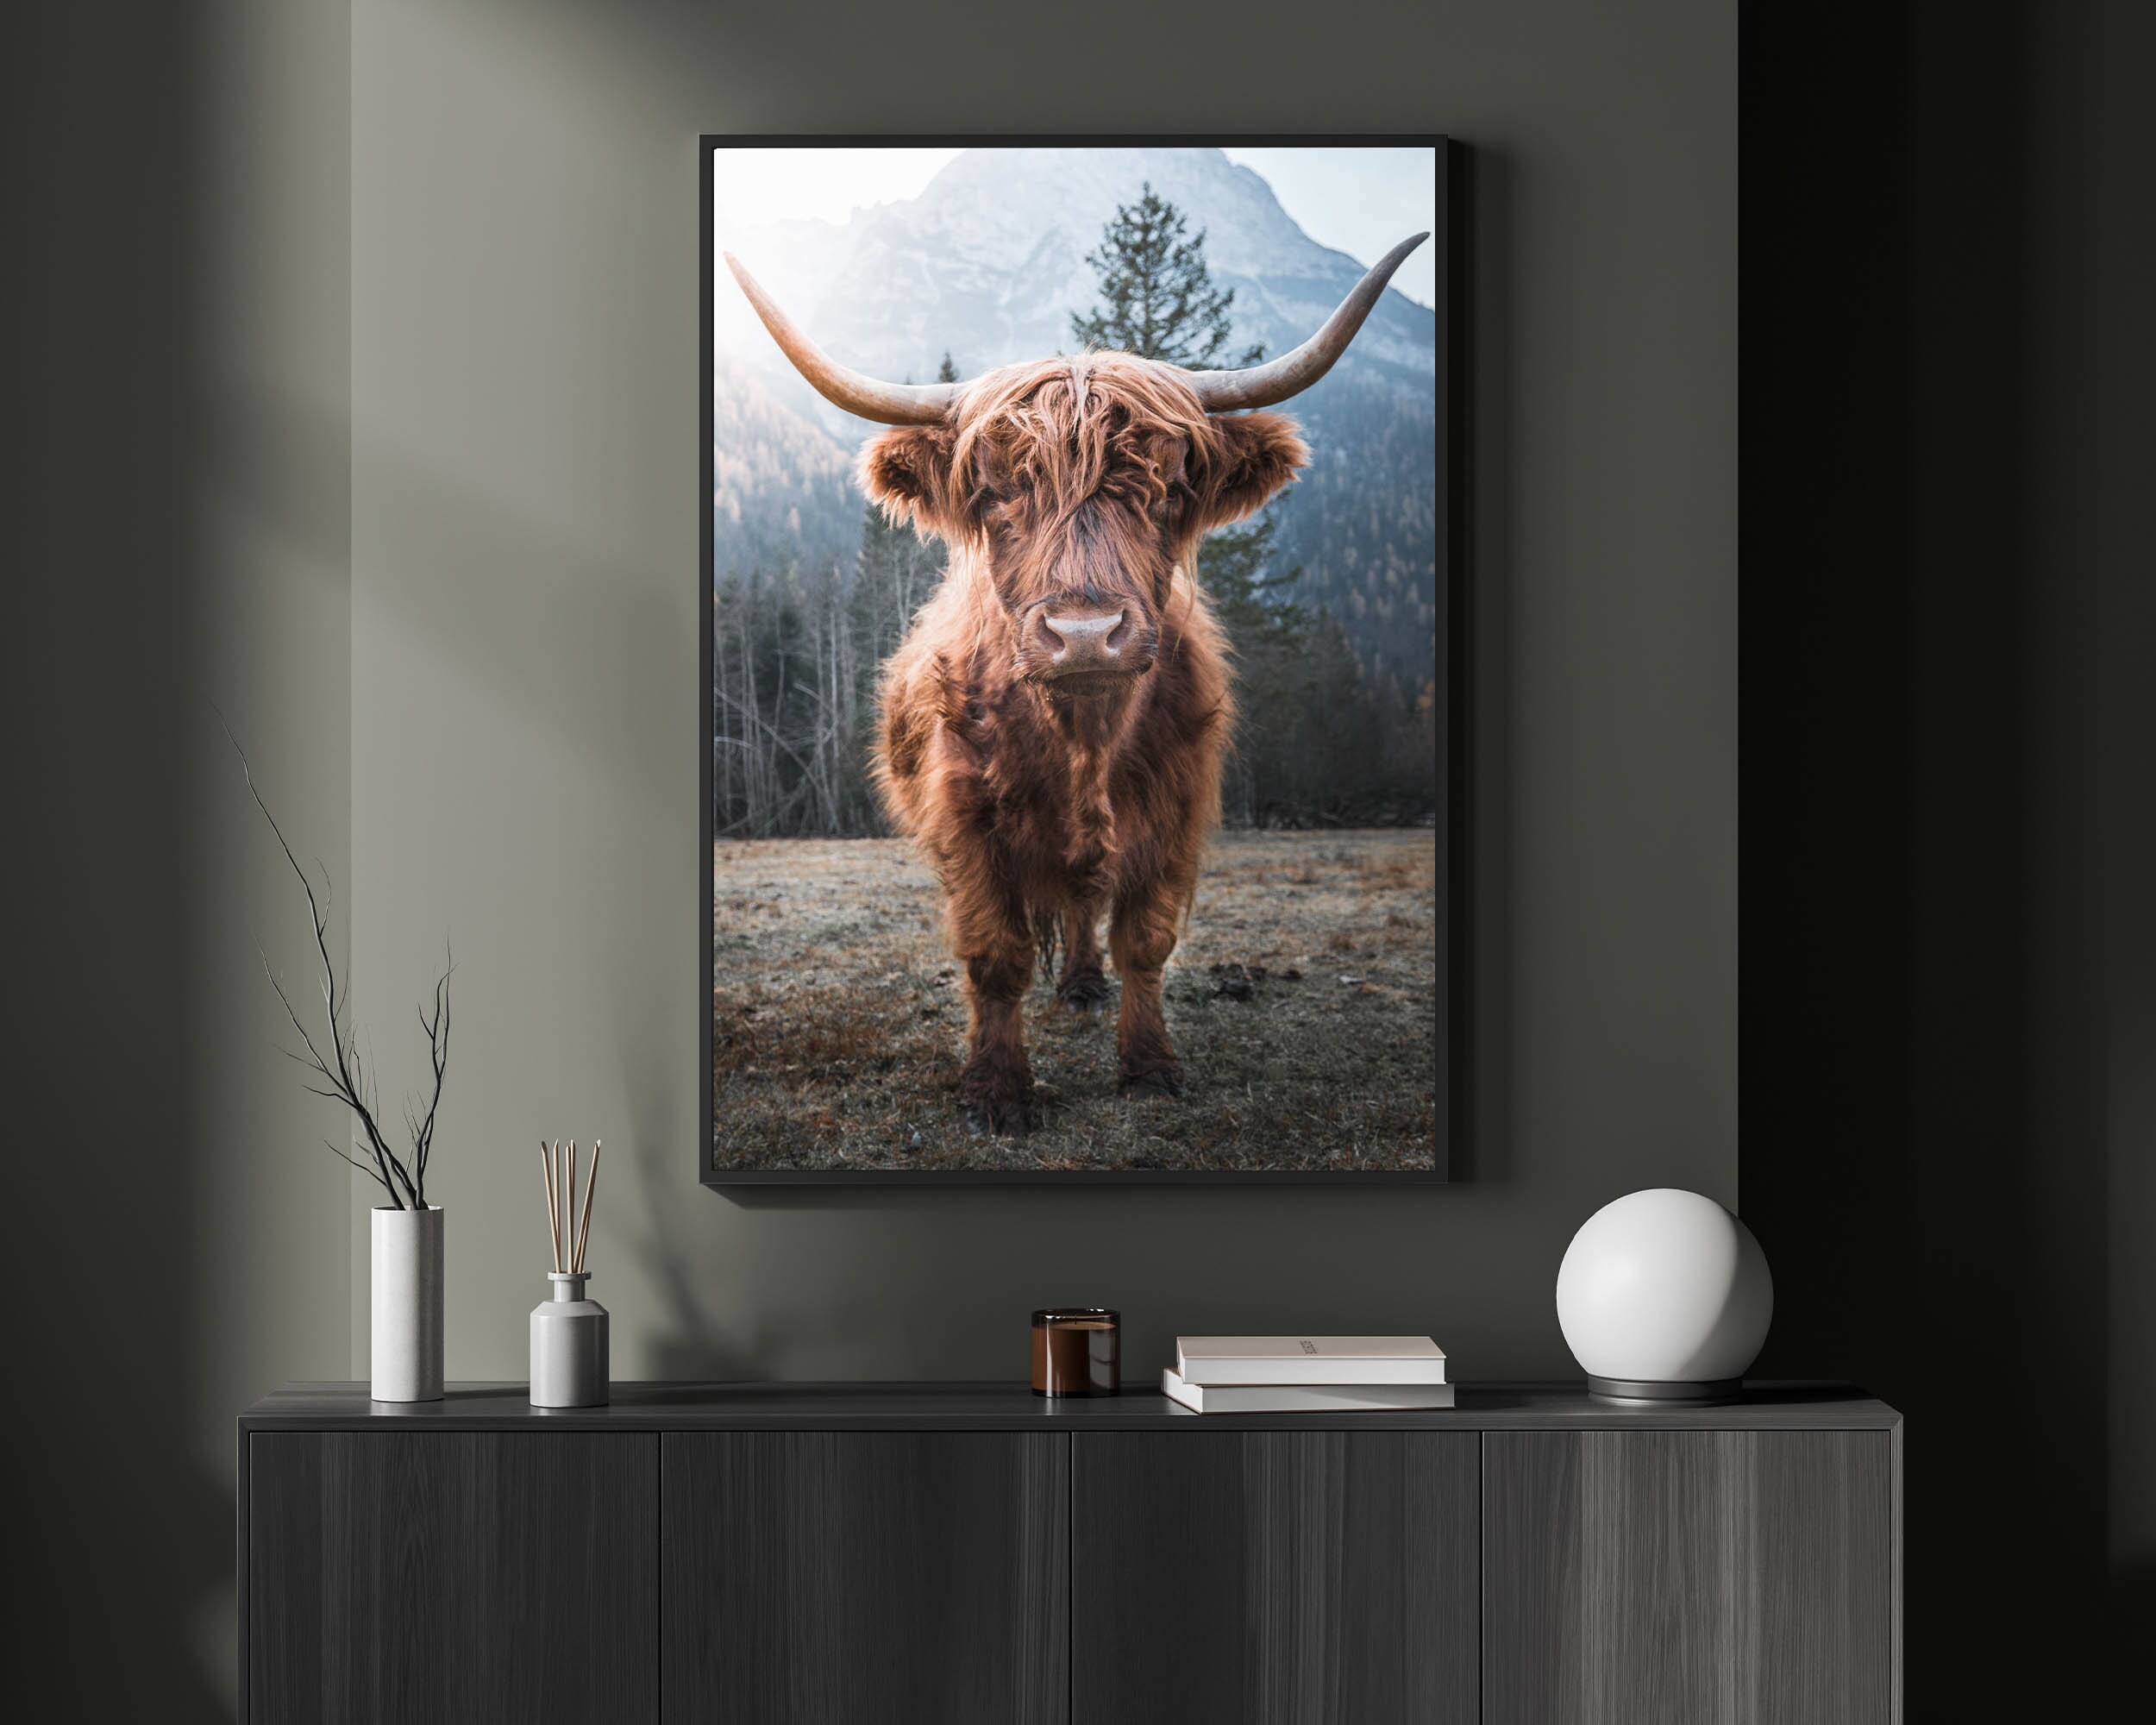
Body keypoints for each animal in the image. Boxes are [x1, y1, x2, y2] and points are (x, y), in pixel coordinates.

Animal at [727, 234, 1426, 1135]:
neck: (1083, 739)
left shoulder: (1175, 812)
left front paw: (1150, 1067)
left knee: (1085, 905)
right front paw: (996, 1090)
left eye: (1169, 488)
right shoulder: (966, 821)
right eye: (993, 492)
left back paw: (1086, 985)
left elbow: (1146, 942)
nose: (1086, 634)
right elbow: (995, 955)